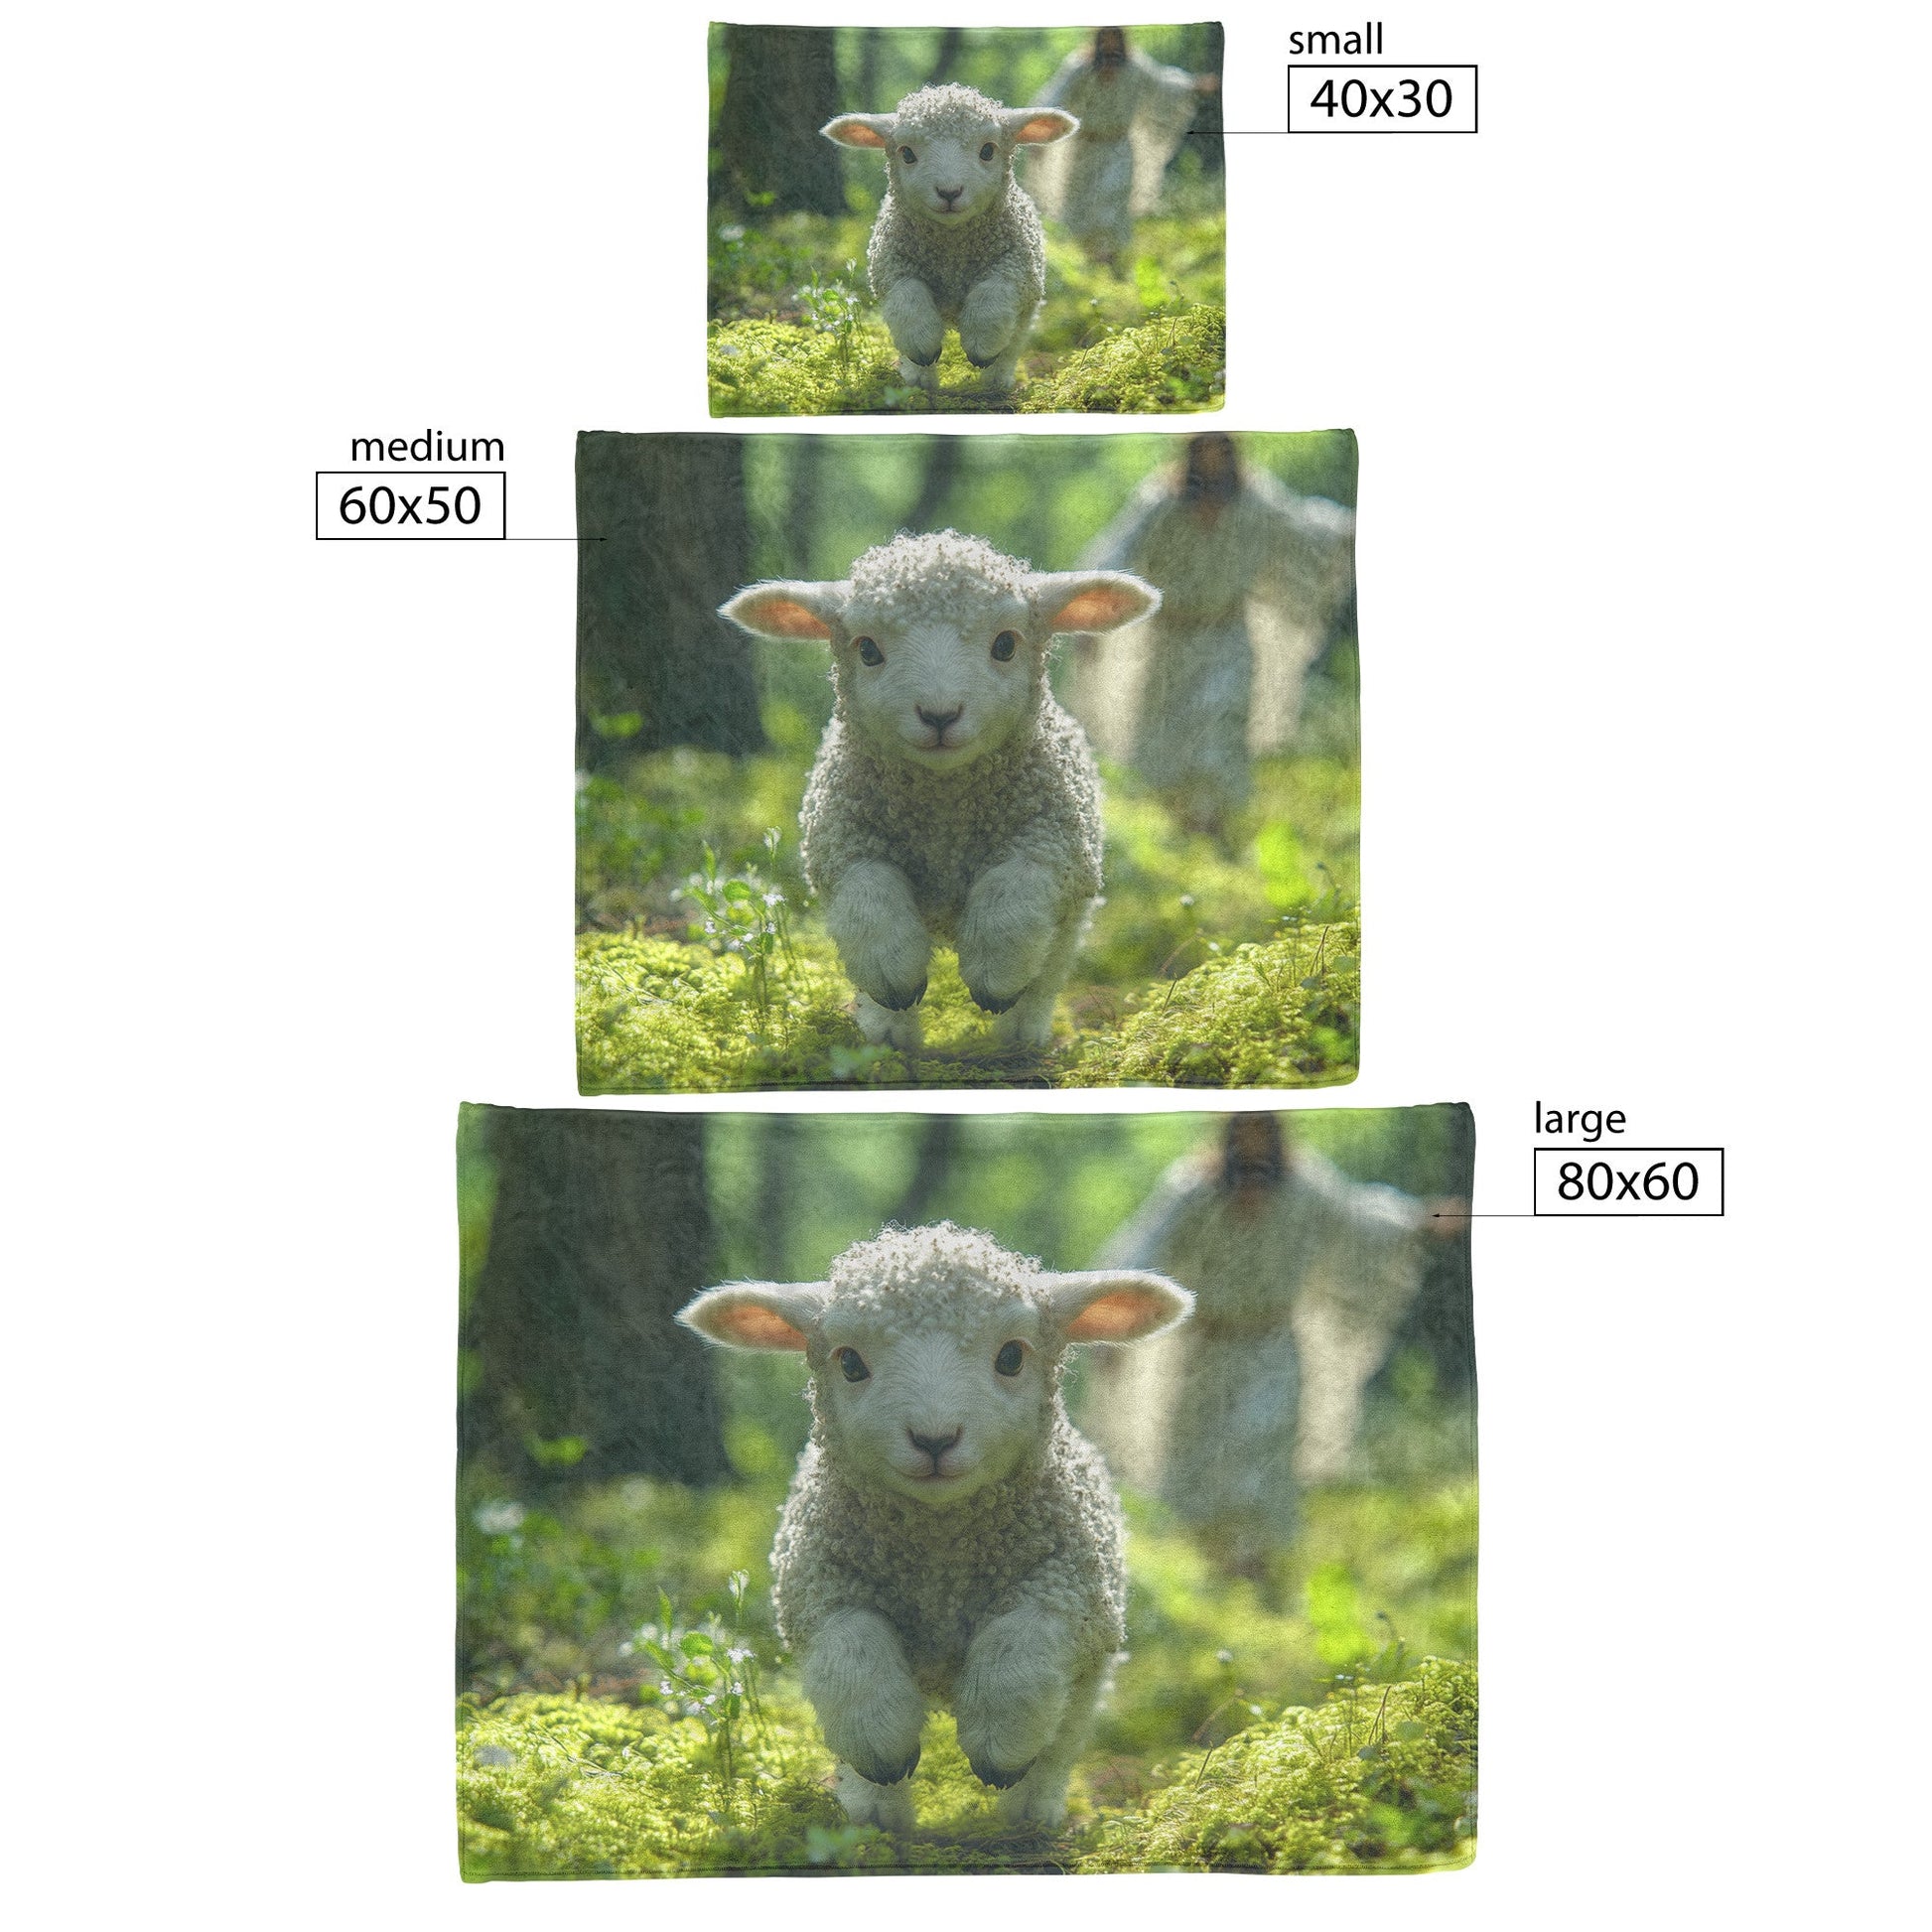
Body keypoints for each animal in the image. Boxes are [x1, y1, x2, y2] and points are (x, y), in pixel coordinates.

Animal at [678, 1222, 1192, 1830]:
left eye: (1012, 1356)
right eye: (849, 1363)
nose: (934, 1439)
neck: (940, 1556)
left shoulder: (1071, 1588)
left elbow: (1019, 1650)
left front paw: (997, 1747)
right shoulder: (818, 1586)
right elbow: (852, 1654)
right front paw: (882, 1749)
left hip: (1092, 1665)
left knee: (1063, 1737)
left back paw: (1030, 1812)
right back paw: (876, 1812)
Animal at [719, 530, 1160, 1052]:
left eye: (1006, 644)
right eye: (867, 650)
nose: (939, 715)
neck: (944, 812)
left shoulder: (1056, 842)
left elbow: (1012, 895)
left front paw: (993, 978)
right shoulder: (842, 842)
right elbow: (869, 901)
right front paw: (894, 981)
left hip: (1074, 910)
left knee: (1049, 970)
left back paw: (1021, 1033)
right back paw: (889, 1033)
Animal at [822, 84, 1078, 396]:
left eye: (988, 150)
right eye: (907, 153)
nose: (949, 192)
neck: (952, 251)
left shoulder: (1018, 267)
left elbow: (992, 295)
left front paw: (981, 345)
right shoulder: (890, 265)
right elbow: (908, 299)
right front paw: (922, 346)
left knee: (1013, 342)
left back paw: (996, 381)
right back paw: (919, 381)